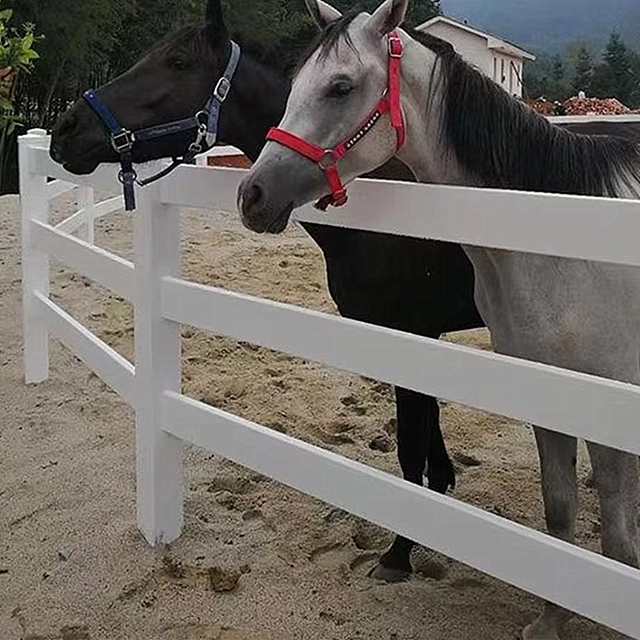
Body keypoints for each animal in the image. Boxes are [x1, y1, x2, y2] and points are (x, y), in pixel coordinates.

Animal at [237, 1, 640, 638]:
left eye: (340, 87)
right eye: (294, 84)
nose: (252, 195)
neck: (561, 240)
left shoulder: (606, 406)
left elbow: (619, 546)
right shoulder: (546, 397)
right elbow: (559, 511)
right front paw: (550, 622)